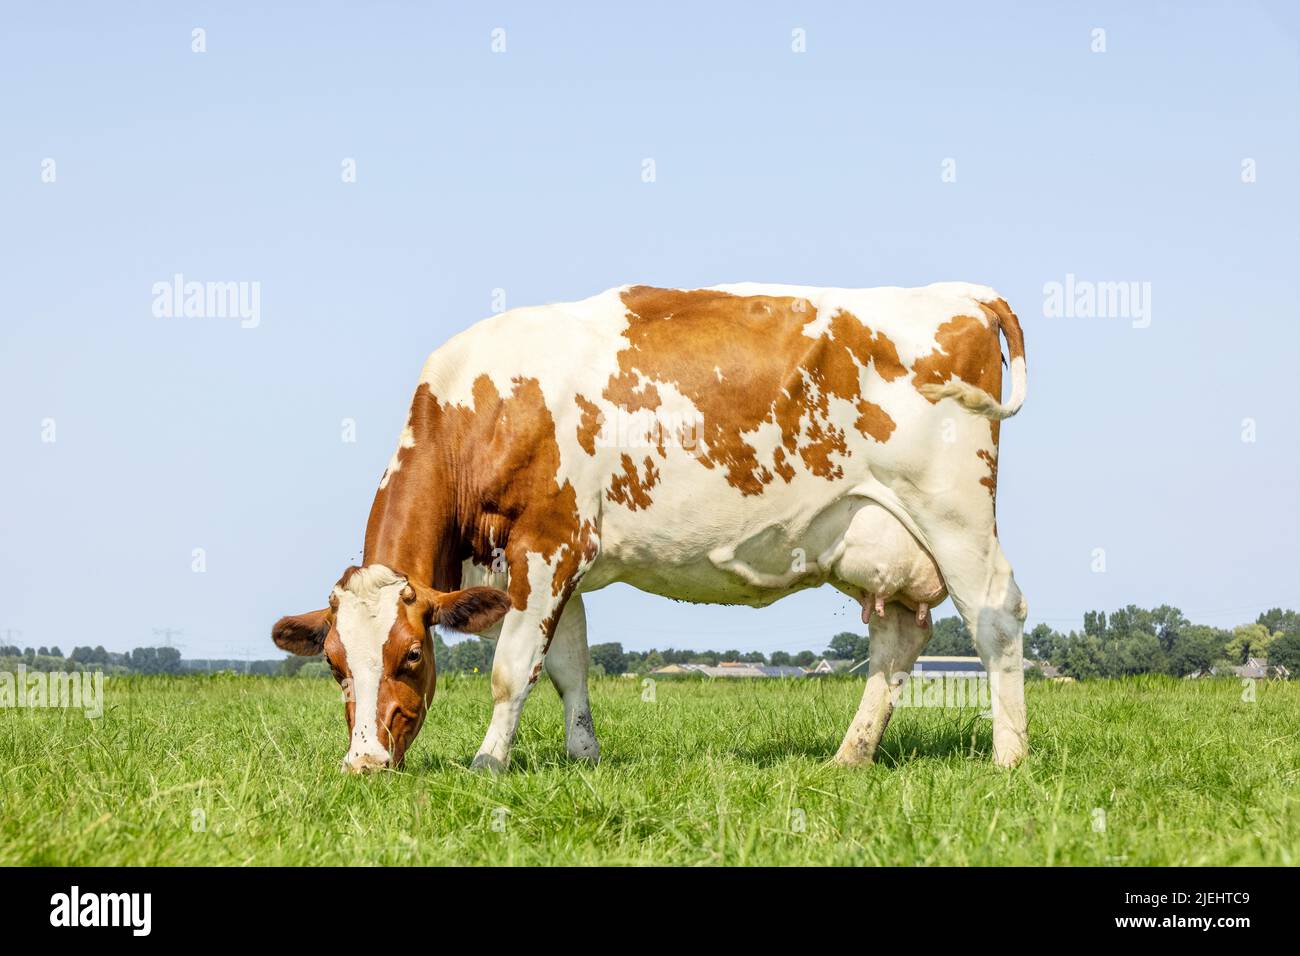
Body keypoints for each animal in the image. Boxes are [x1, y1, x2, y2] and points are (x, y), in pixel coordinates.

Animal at [273, 282, 1029, 773]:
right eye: (335, 664)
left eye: (410, 657)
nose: (365, 763)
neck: (481, 406)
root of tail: (961, 291)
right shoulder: (556, 560)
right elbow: (568, 665)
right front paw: (584, 757)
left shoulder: (548, 542)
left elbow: (512, 668)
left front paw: (488, 762)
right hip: (880, 539)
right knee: (897, 641)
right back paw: (851, 756)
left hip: (953, 514)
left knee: (995, 616)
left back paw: (1008, 757)